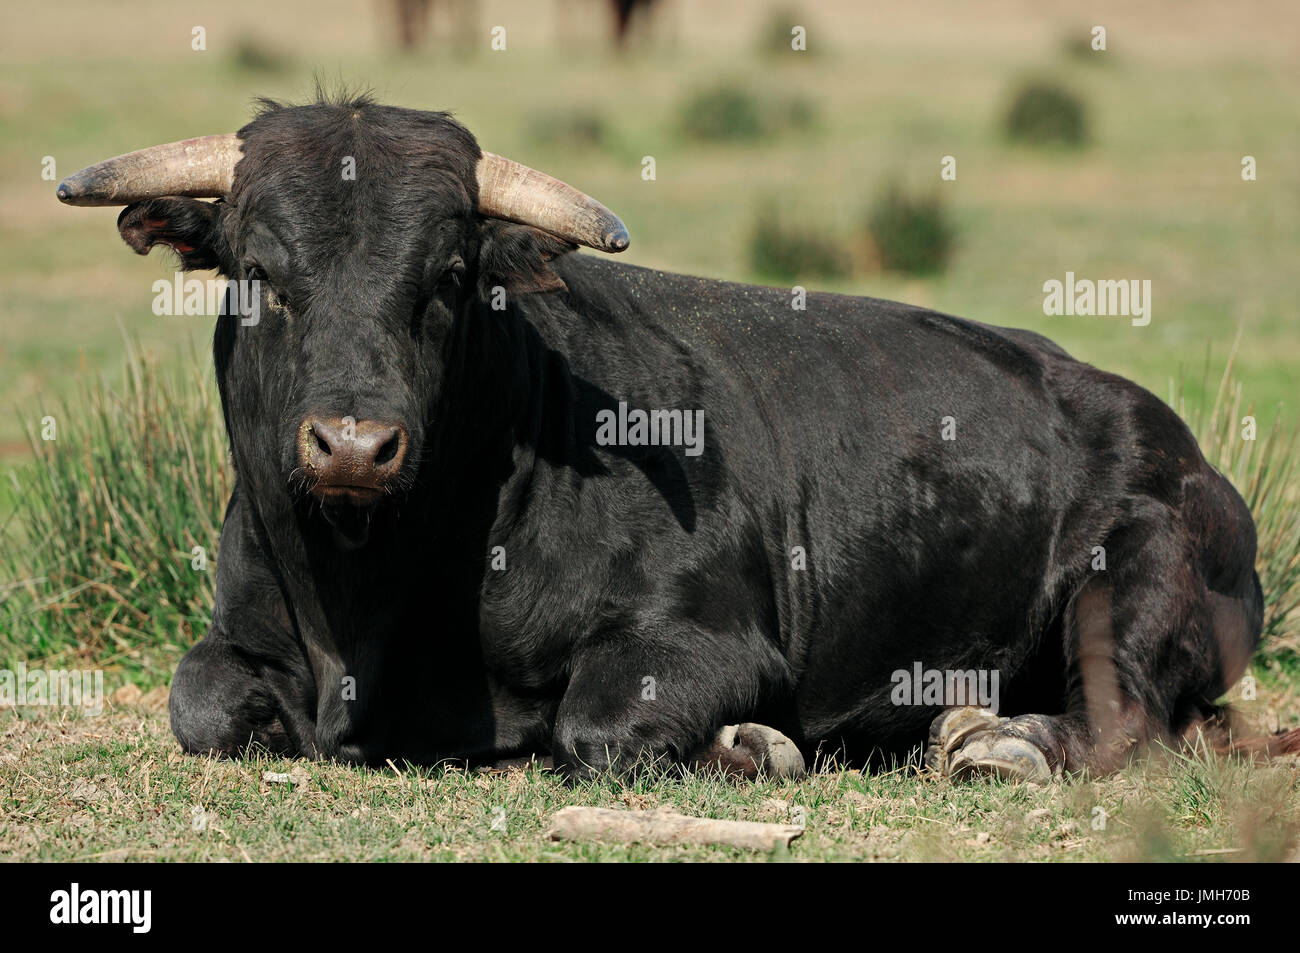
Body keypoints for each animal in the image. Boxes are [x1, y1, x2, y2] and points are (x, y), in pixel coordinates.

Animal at [57, 94, 1297, 783]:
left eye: (449, 275)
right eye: (260, 271)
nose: (354, 445)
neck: (359, 611)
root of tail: (1174, 443)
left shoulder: (702, 642)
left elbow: (599, 723)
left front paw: (751, 745)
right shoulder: (237, 642)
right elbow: (198, 696)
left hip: (1133, 573)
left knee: (1126, 714)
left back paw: (1003, 741)